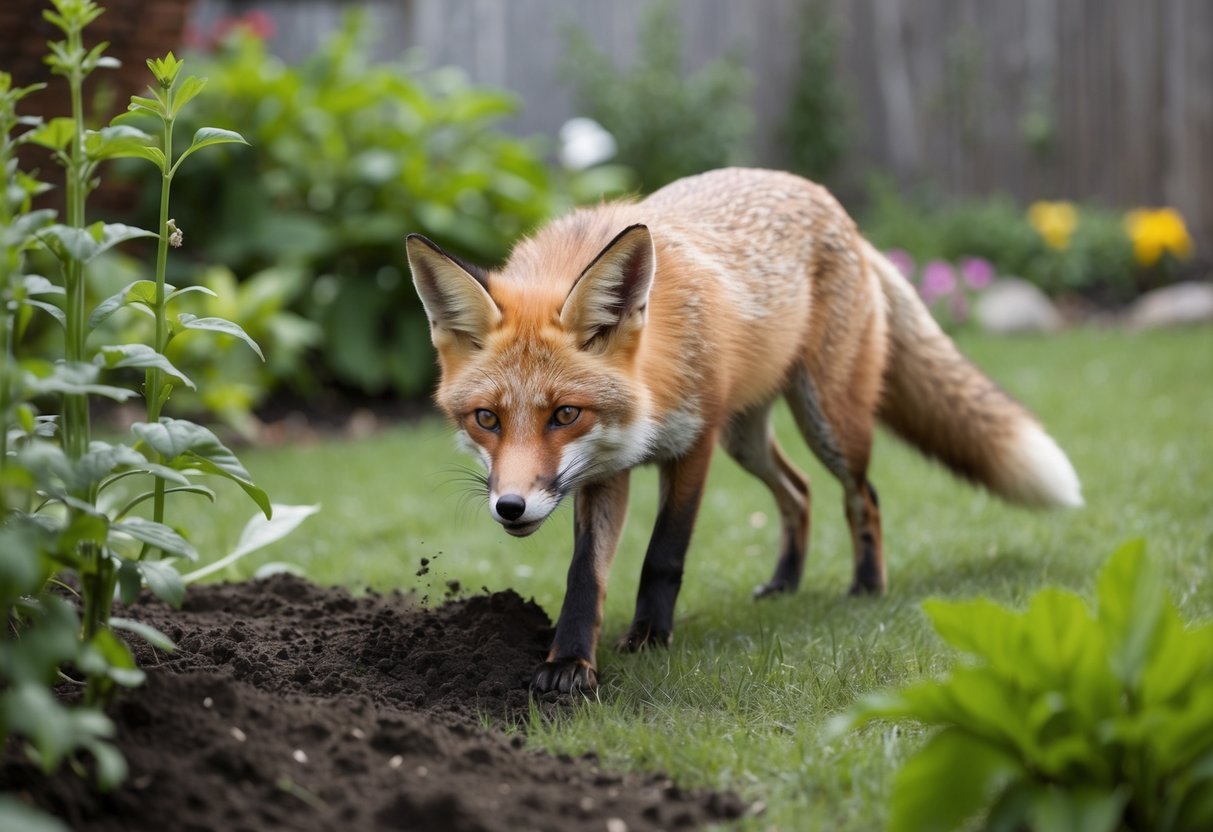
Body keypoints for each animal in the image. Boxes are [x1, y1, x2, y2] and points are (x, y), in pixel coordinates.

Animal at [406, 168, 1083, 694]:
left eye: (564, 414)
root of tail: (832, 204)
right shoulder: (605, 470)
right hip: (748, 438)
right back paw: (786, 581)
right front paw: (570, 663)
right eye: (487, 419)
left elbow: (664, 556)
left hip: (825, 419)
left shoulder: (695, 443)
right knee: (800, 491)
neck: (652, 384)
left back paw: (867, 585)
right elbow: (585, 576)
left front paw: (649, 638)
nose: (511, 507)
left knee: (861, 495)